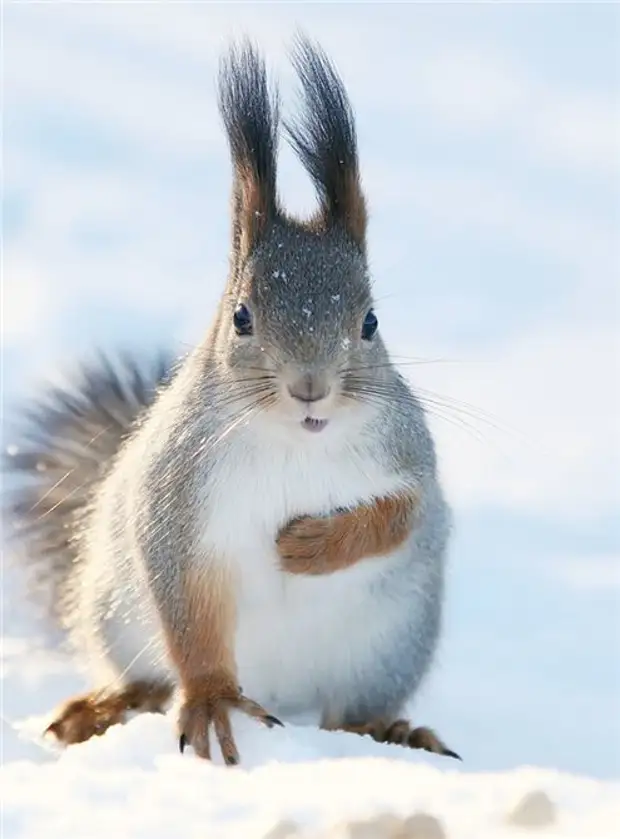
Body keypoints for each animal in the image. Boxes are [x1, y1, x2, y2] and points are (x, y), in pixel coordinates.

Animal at [3, 36, 460, 764]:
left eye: (370, 322)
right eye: (242, 317)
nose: (310, 387)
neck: (297, 441)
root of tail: (286, 699)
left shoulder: (409, 453)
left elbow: (401, 515)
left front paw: (311, 547)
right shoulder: (177, 497)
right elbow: (190, 612)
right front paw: (214, 696)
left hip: (388, 652)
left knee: (350, 714)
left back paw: (391, 730)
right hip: (115, 616)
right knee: (148, 680)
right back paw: (102, 706)